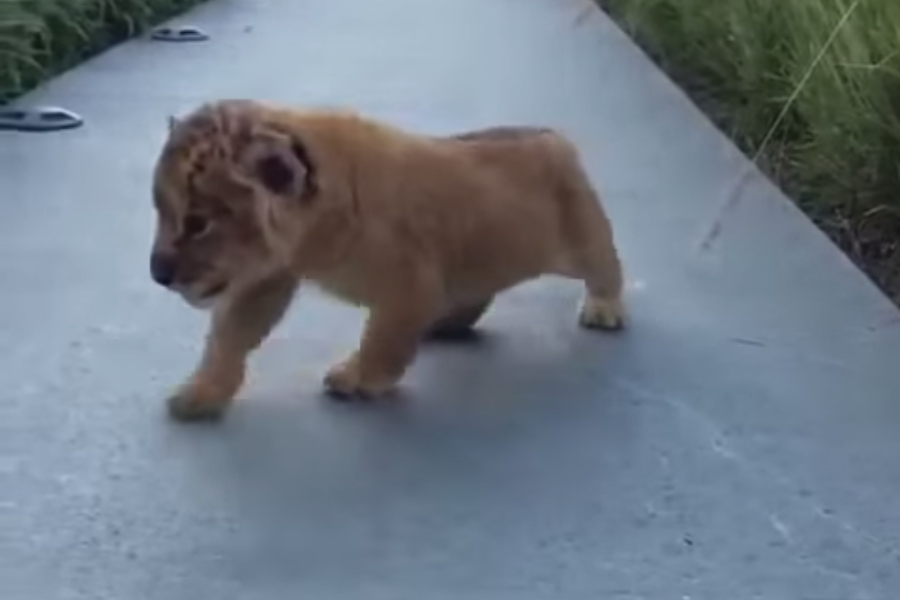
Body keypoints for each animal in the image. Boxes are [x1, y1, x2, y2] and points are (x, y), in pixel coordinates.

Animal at [149, 99, 626, 421]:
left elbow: (382, 338)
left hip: (580, 237)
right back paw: (445, 325)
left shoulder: (412, 282)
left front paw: (358, 378)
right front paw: (200, 394)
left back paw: (604, 309)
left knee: (607, 266)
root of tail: (549, 133)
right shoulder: (266, 278)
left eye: (197, 222)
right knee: (475, 290)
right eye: (161, 210)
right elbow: (228, 337)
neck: (313, 231)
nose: (157, 274)